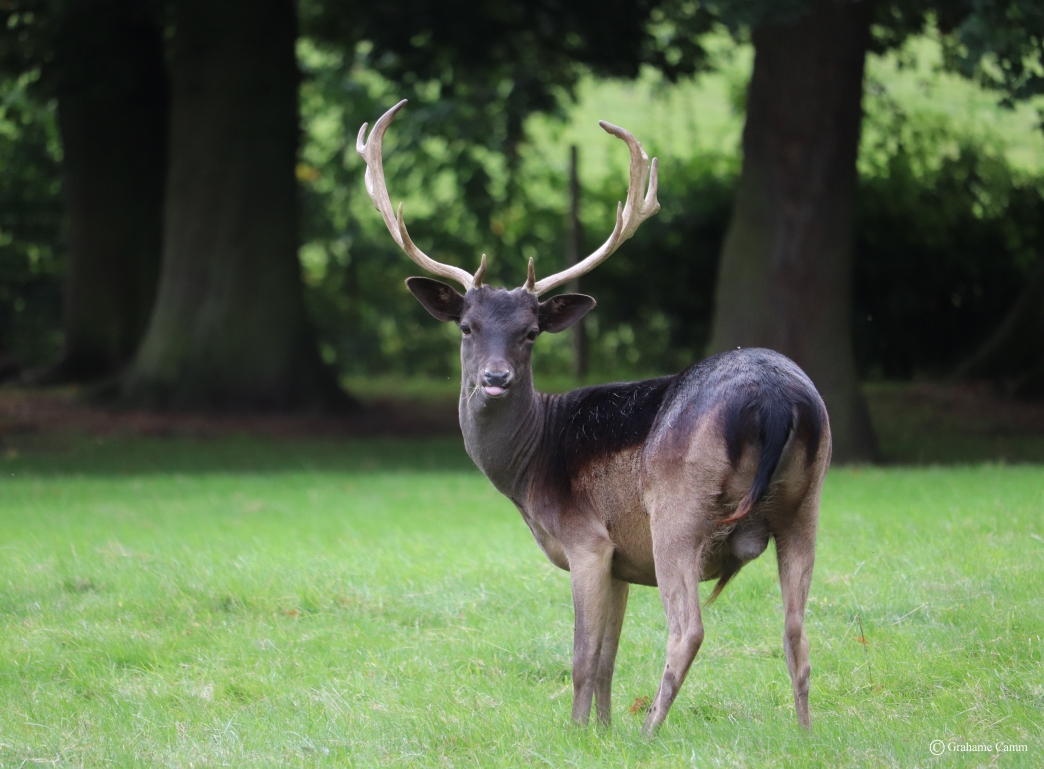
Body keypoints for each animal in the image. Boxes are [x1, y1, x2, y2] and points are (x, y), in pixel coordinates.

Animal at [357, 100, 831, 734]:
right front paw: (599, 732)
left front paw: (577, 732)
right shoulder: (622, 562)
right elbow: (607, 657)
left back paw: (651, 732)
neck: (531, 468)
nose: (496, 379)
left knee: (688, 629)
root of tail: (779, 399)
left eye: (531, 331)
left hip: (679, 511)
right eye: (467, 327)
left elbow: (582, 655)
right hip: (806, 504)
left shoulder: (588, 543)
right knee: (797, 632)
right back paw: (803, 735)